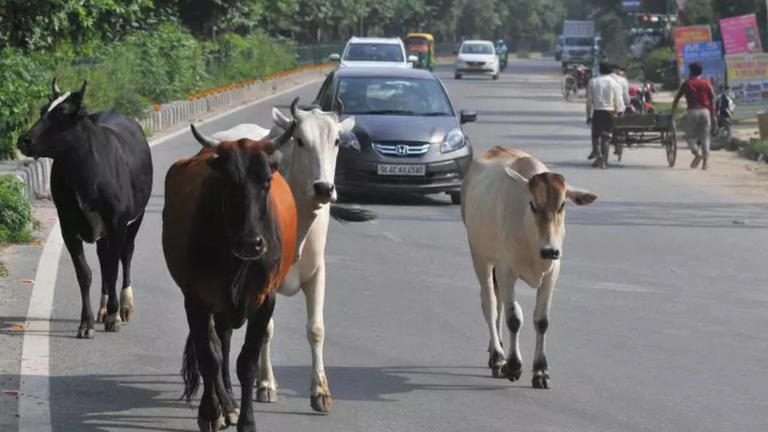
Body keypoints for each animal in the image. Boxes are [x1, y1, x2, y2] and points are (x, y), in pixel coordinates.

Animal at [18, 79, 153, 338]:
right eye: (43, 110)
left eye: (63, 113)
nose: (24, 140)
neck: (85, 177)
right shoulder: (68, 226)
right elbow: (85, 273)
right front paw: (86, 322)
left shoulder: (117, 223)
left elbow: (113, 268)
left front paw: (114, 316)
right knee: (103, 257)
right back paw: (102, 309)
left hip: (136, 218)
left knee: (125, 255)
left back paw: (124, 307)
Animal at [162, 123, 297, 432]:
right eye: (229, 182)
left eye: (266, 181)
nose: (251, 244)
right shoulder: (196, 300)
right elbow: (208, 357)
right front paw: (210, 413)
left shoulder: (265, 298)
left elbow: (246, 362)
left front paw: (247, 421)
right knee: (216, 346)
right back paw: (224, 405)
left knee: (224, 341)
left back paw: (231, 403)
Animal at [212, 97, 375, 412]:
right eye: (300, 140)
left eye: (336, 140)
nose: (324, 188)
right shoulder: (264, 282)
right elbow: (266, 329)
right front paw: (266, 384)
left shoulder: (318, 272)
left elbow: (316, 329)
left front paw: (321, 392)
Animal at [461, 146, 597, 389]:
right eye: (533, 205)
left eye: (562, 205)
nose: (549, 251)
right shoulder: (506, 271)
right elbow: (514, 318)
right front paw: (513, 366)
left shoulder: (552, 273)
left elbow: (541, 321)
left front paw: (541, 371)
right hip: (481, 258)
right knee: (490, 304)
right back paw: (498, 357)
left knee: (498, 306)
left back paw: (496, 350)